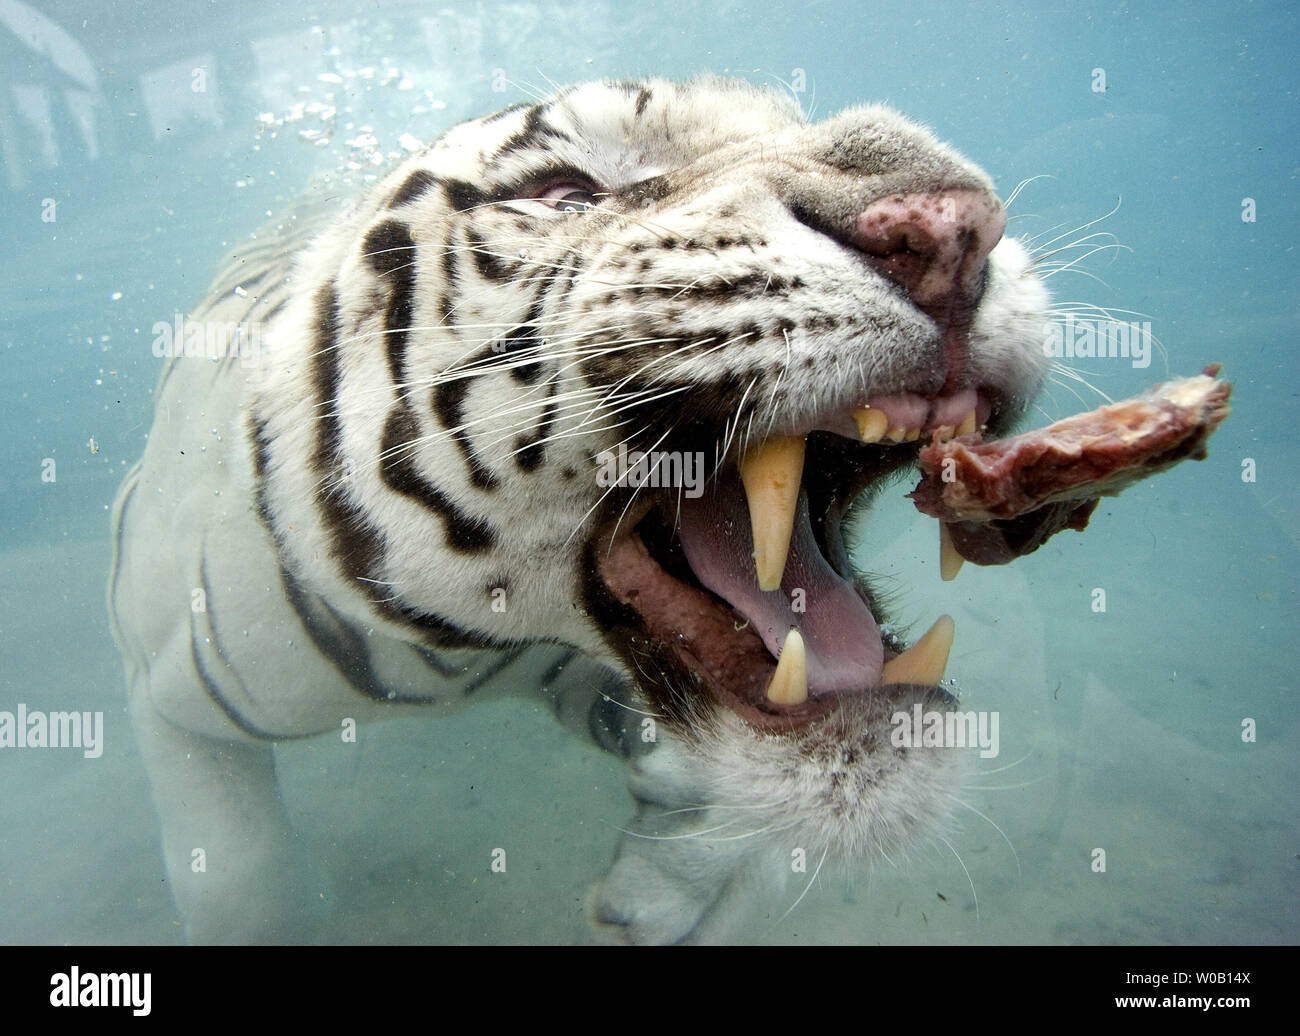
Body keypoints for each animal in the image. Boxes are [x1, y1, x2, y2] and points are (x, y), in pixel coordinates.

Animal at [108, 75, 1051, 945]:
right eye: (564, 193)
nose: (954, 226)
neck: (501, 642)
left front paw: (662, 884)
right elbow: (238, 882)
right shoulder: (172, 688)